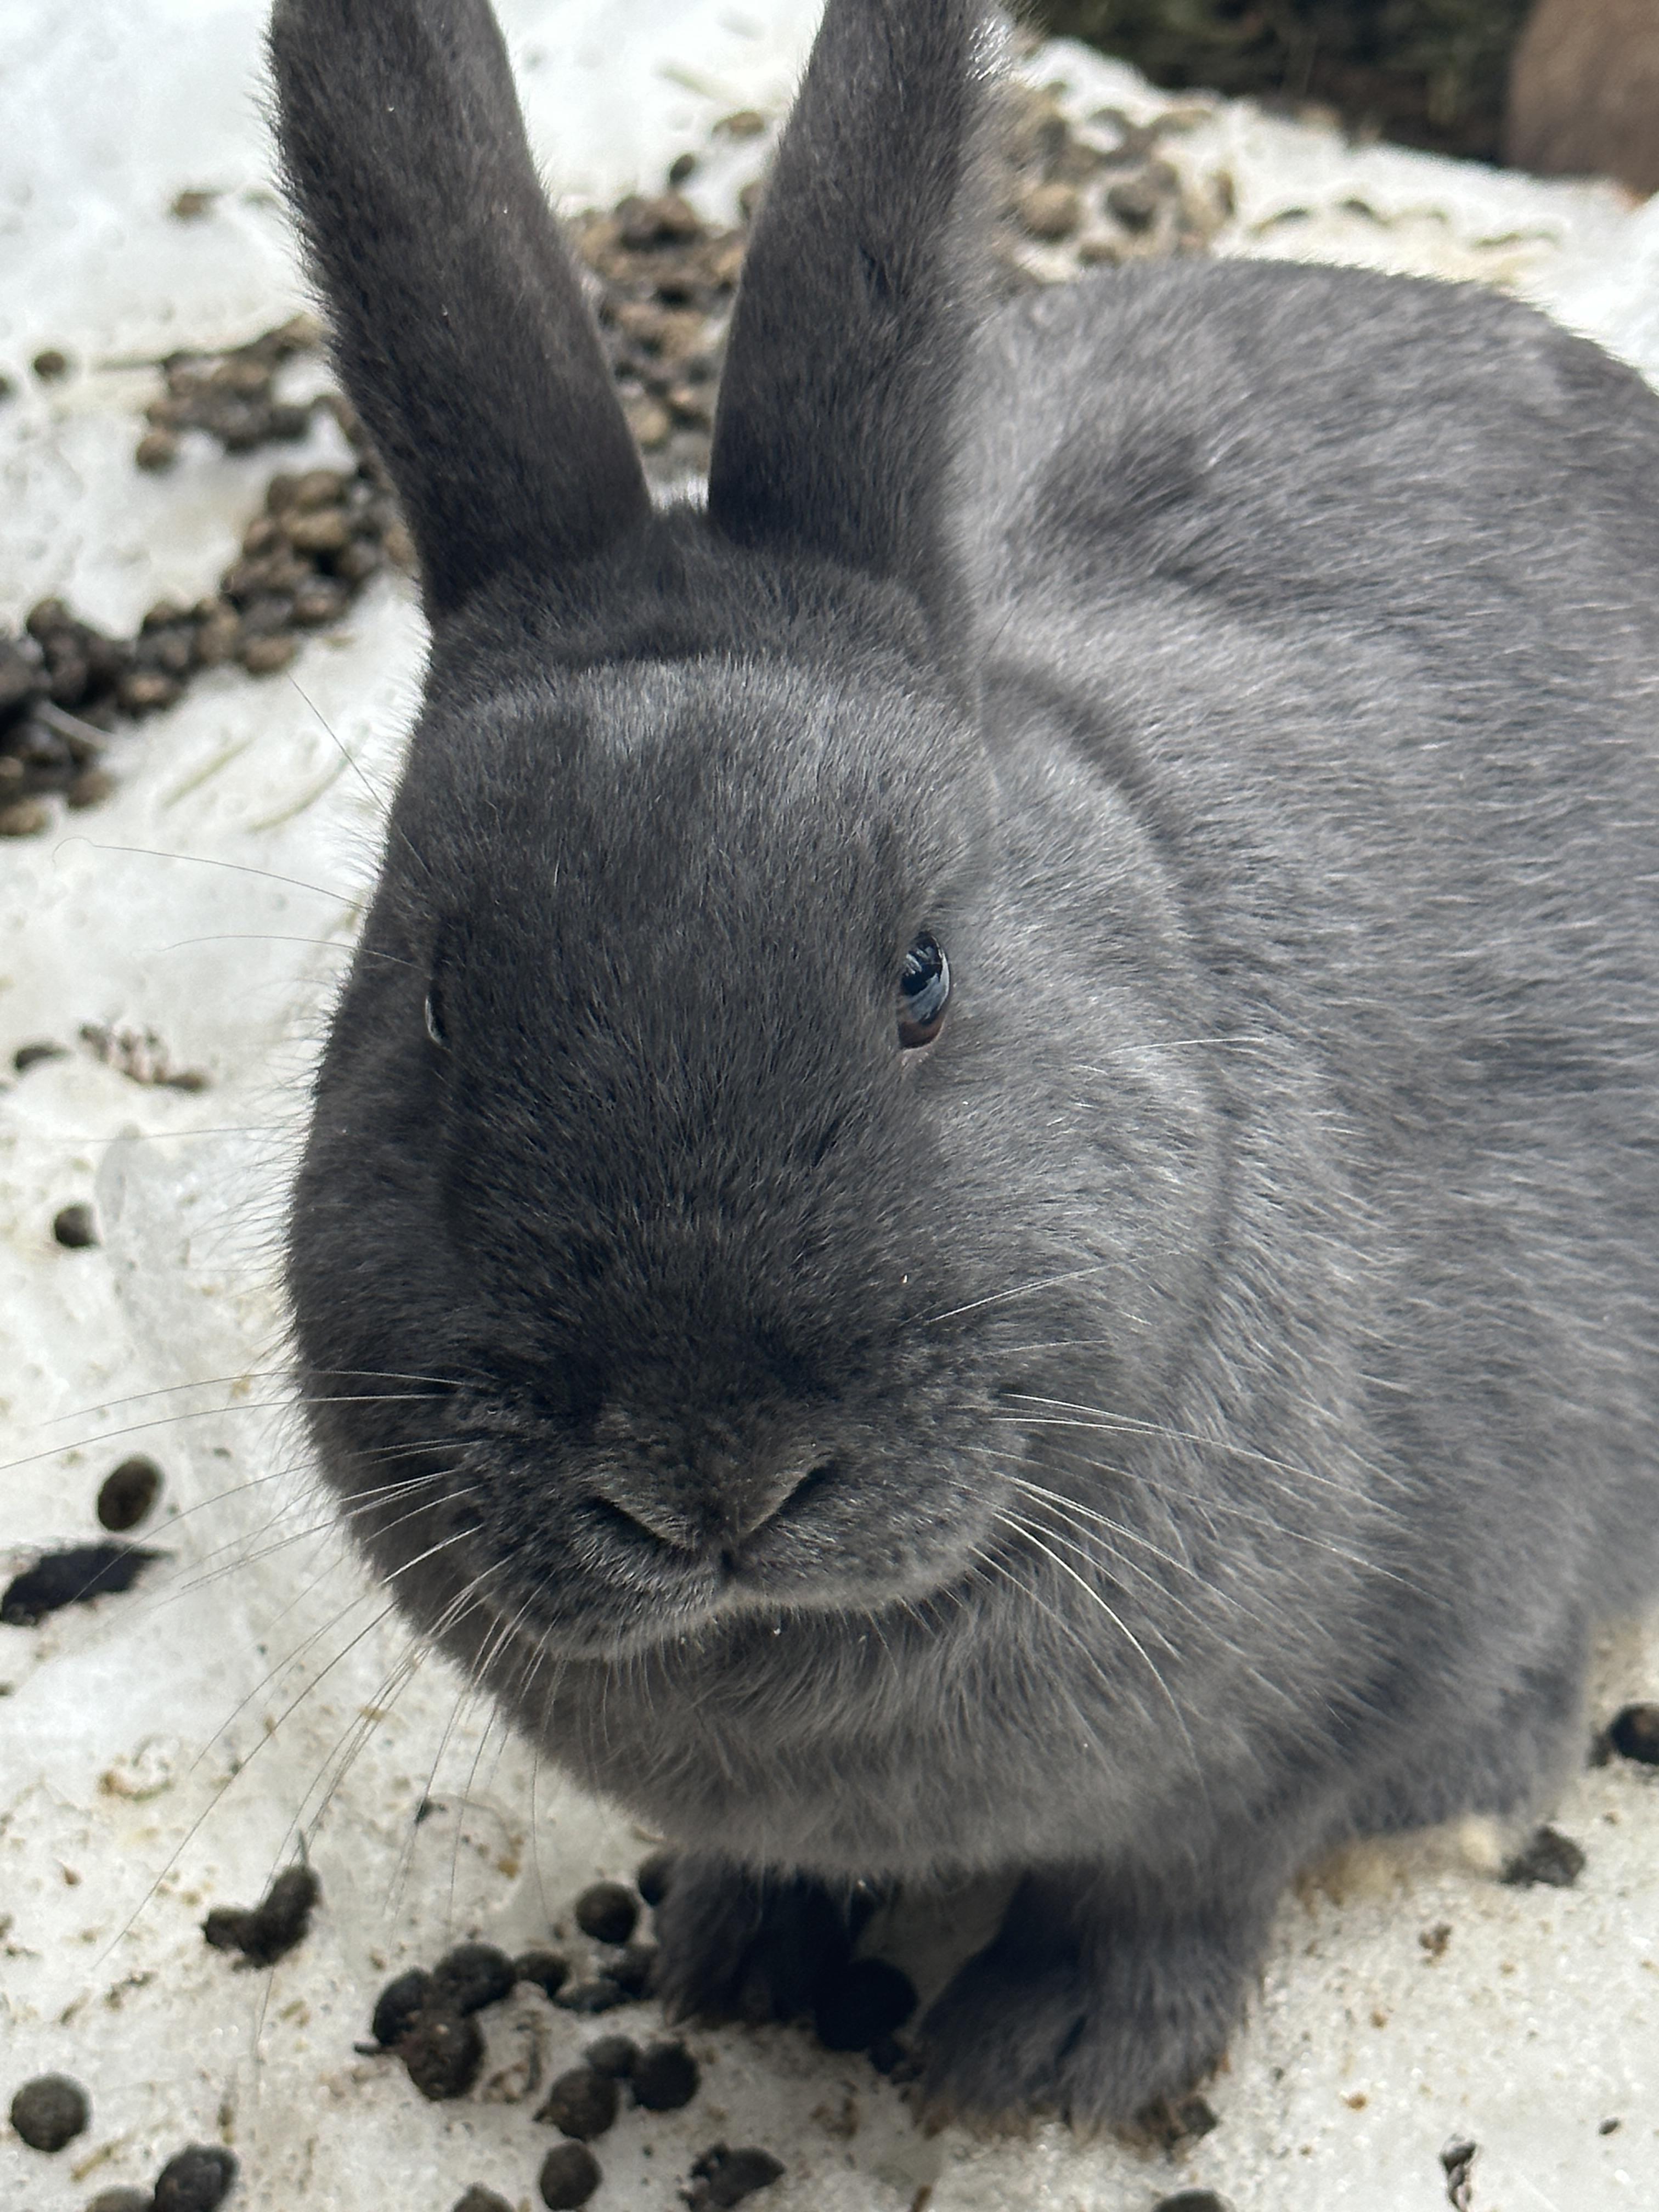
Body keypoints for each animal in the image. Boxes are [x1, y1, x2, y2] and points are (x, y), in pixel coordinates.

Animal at [269, 0, 1659, 2129]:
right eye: (432, 999)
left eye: (924, 974)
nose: (707, 1476)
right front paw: (734, 1958)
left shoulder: (1332, 1699)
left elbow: (1183, 1882)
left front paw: (1051, 2064)